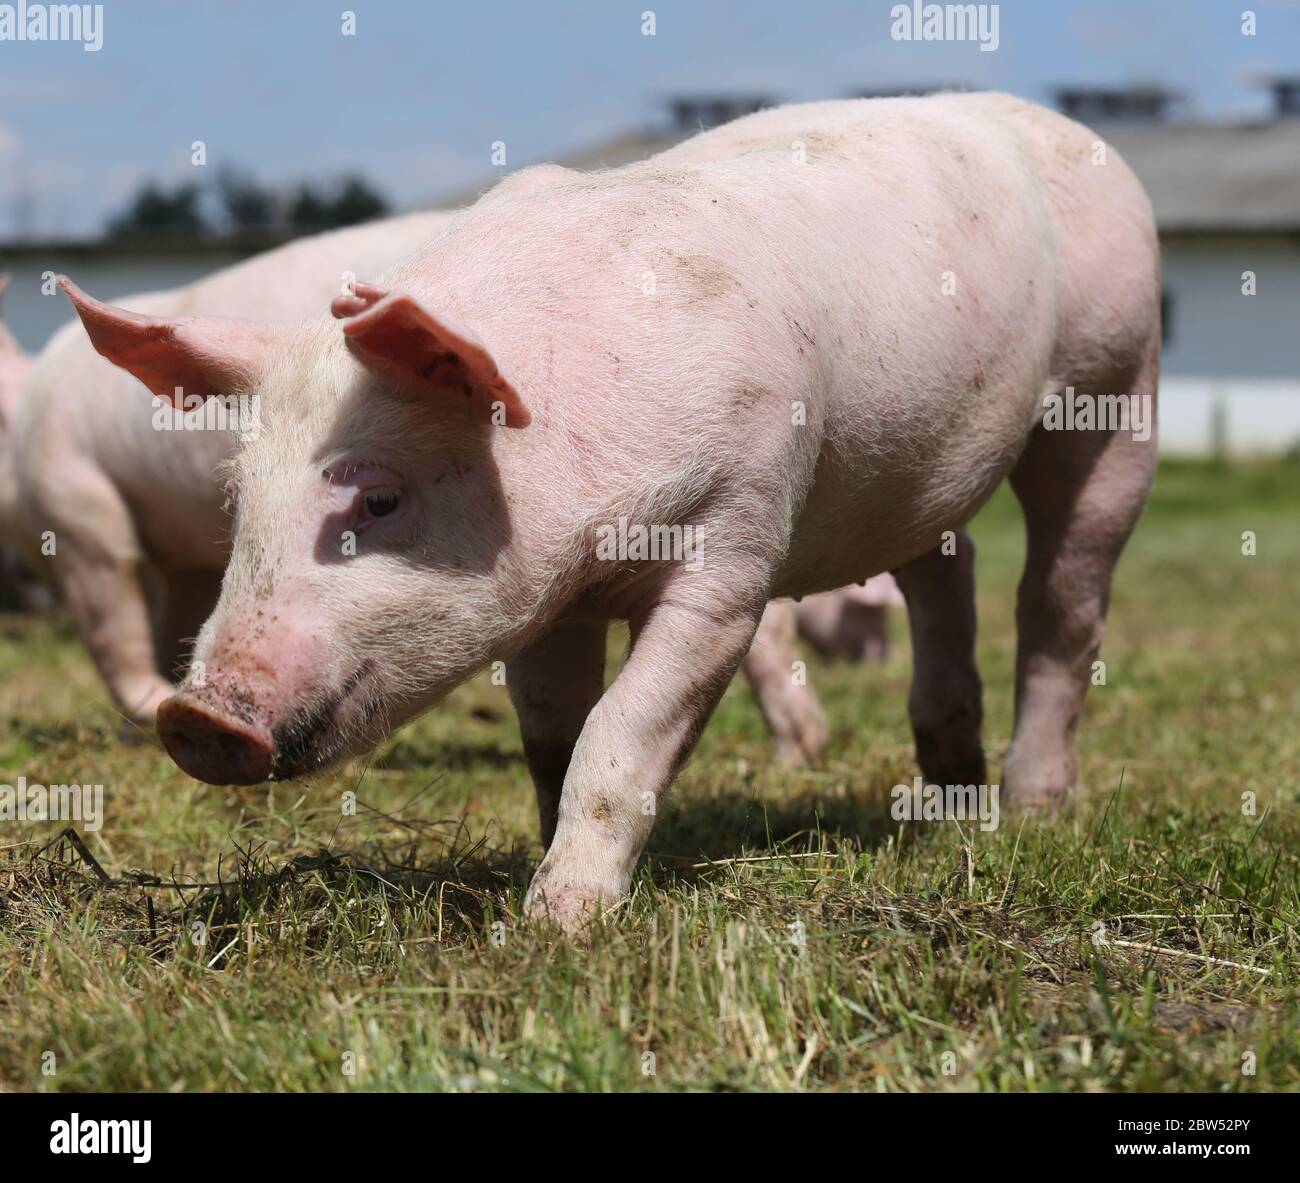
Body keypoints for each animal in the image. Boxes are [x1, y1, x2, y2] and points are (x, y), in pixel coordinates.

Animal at [65, 93, 1160, 930]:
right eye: (238, 501)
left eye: (377, 497)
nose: (197, 715)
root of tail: (1073, 133)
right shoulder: (540, 596)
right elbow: (553, 736)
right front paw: (544, 876)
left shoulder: (736, 537)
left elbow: (620, 729)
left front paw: (559, 926)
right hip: (920, 468)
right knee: (947, 569)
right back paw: (945, 794)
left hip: (1115, 382)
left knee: (1062, 597)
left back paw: (1031, 811)